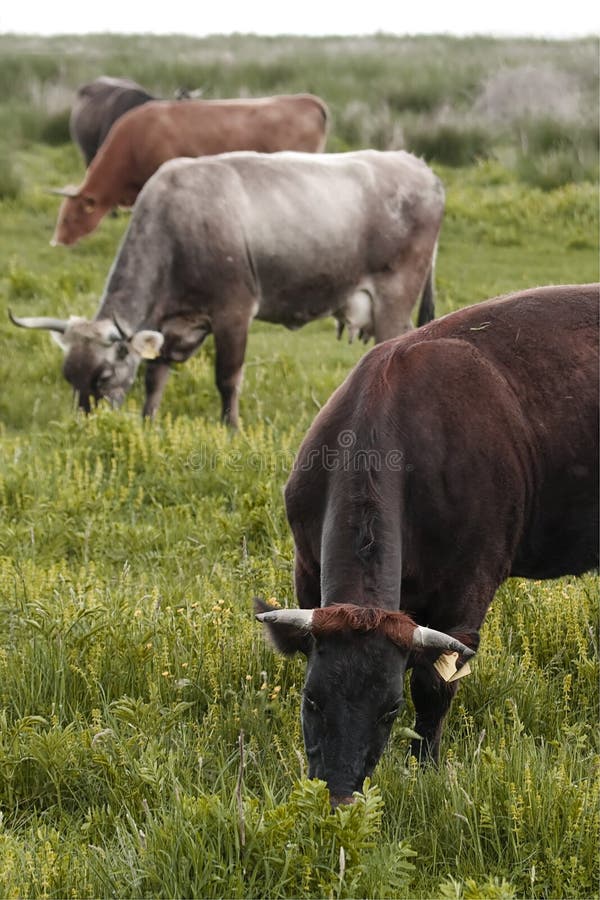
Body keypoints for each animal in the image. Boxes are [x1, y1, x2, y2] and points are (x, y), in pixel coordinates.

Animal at [13, 149, 444, 425]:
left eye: (103, 376)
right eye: (69, 376)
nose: (85, 425)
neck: (175, 225)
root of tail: (419, 166)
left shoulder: (233, 312)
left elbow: (227, 378)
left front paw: (231, 427)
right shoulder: (172, 325)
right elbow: (156, 374)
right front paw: (148, 421)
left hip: (394, 300)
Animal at [255, 283, 599, 807]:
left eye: (390, 709)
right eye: (312, 699)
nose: (338, 796)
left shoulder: (467, 591)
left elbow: (434, 687)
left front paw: (426, 767)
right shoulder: (306, 570)